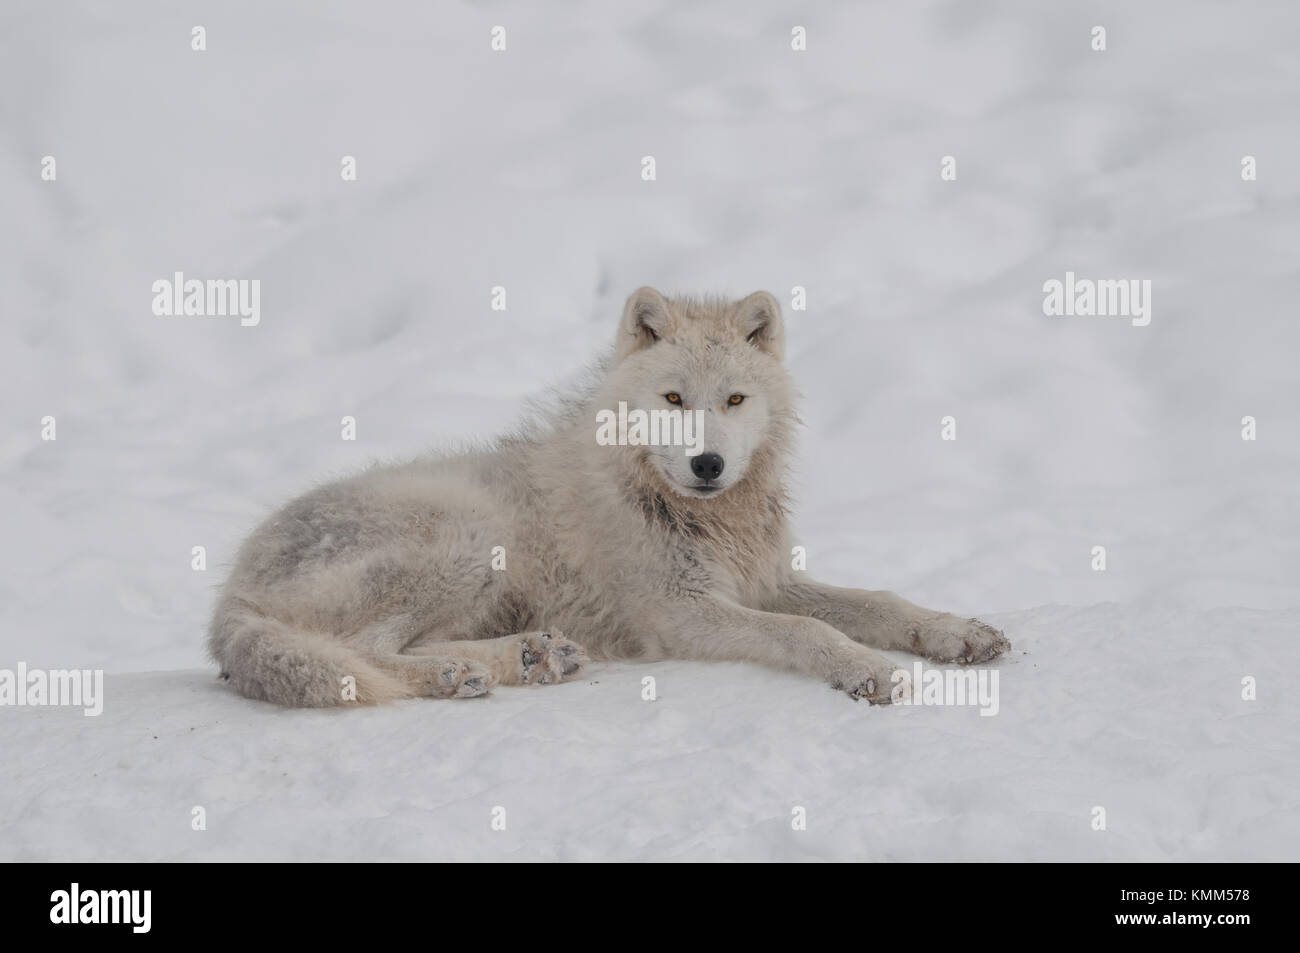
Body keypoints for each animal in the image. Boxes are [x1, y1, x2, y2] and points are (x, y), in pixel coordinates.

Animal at [209, 287, 1010, 707]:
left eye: (734, 398)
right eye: (674, 399)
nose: (709, 463)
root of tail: (229, 596)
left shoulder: (764, 580)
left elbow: (879, 602)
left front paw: (954, 633)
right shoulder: (682, 612)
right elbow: (807, 631)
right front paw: (868, 669)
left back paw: (533, 656)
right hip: (468, 537)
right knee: (365, 651)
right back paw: (463, 672)